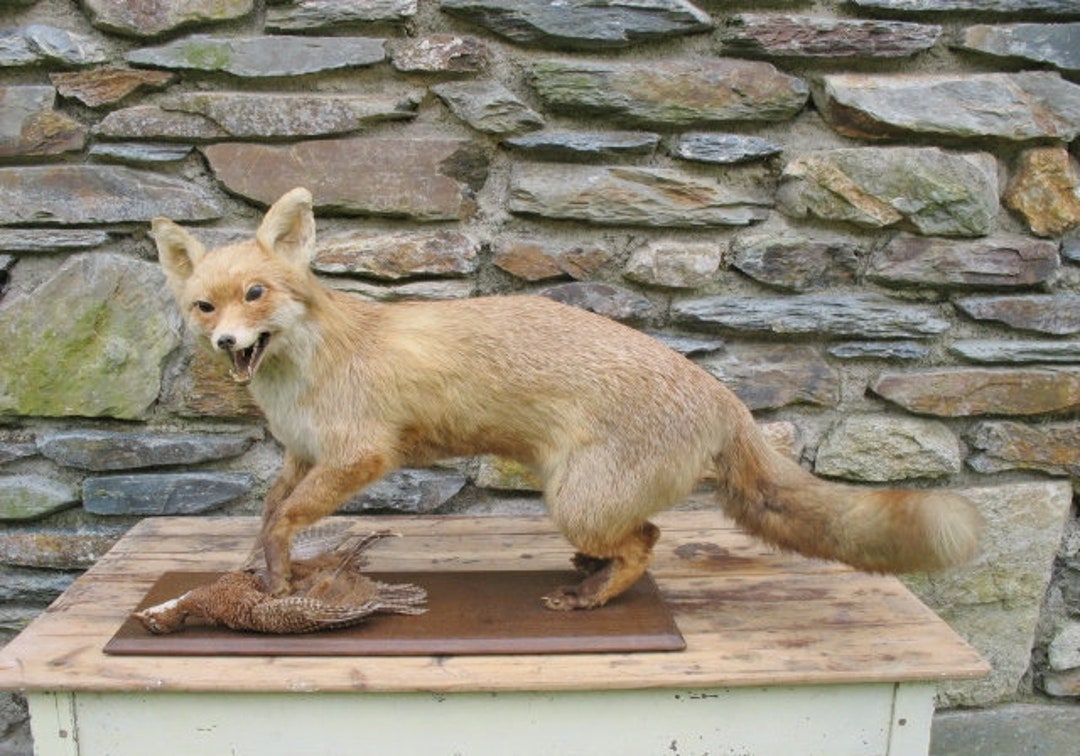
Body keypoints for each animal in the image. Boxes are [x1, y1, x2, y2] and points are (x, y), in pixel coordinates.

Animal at [152, 187, 981, 610]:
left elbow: (293, 517)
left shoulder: (361, 454)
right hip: (581, 500)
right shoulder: (303, 452)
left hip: (575, 500)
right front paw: (263, 568)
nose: (228, 344)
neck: (304, 378)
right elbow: (271, 513)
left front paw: (278, 576)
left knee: (650, 539)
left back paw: (595, 597)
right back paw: (590, 577)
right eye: (205, 306)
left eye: (256, 294)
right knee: (637, 536)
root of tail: (723, 398)